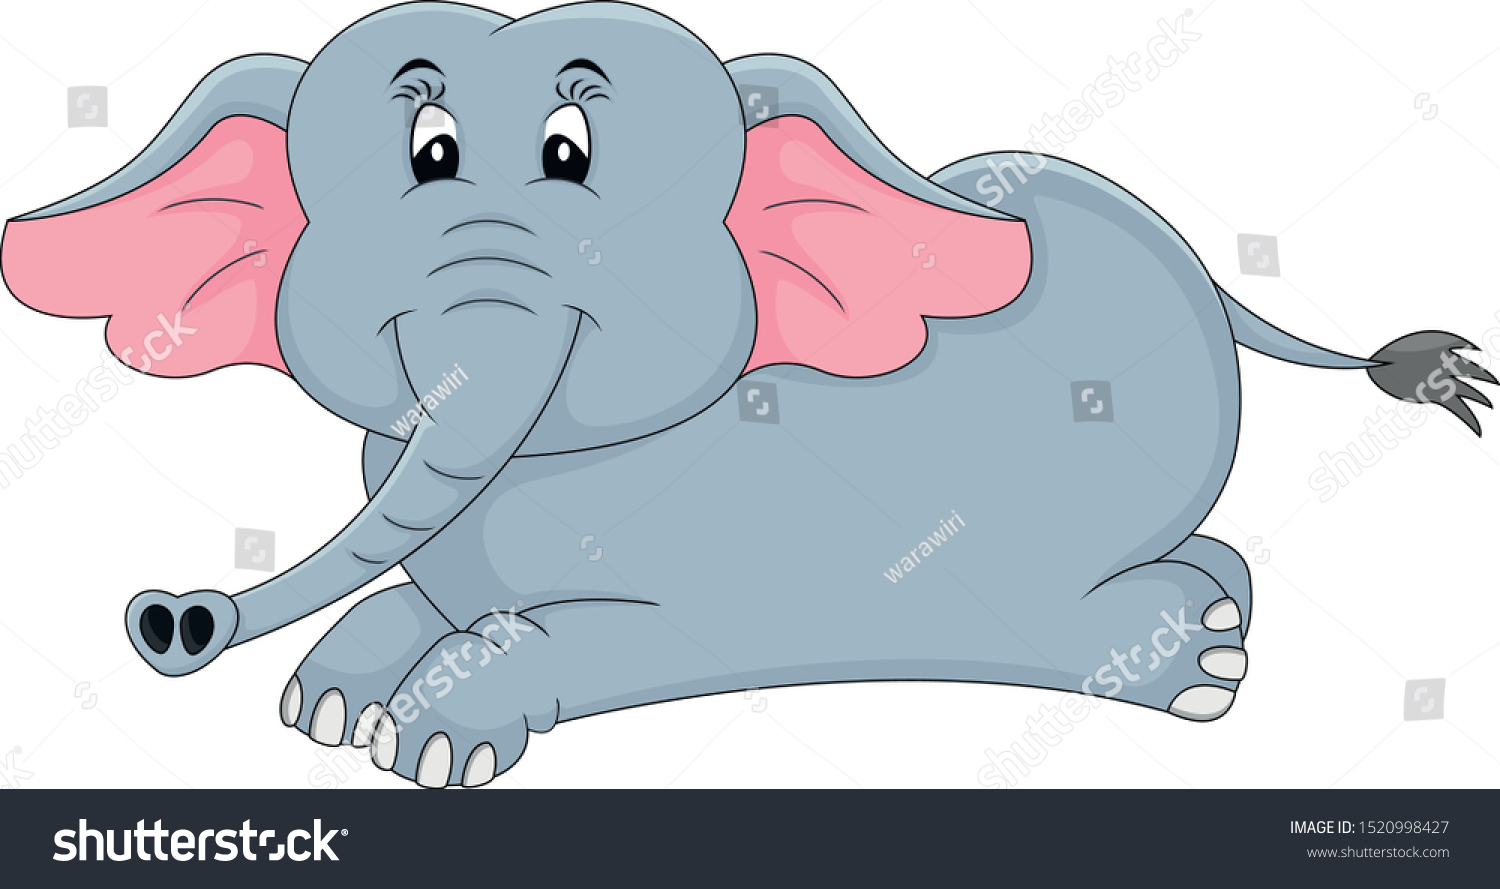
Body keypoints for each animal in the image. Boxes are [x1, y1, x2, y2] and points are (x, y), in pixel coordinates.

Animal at [2, 0, 1493, 788]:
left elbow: (630, 633)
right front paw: (331, 707)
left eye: (571, 152)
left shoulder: (719, 565)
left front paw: (425, 739)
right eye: (424, 154)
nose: (169, 620)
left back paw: (1195, 663)